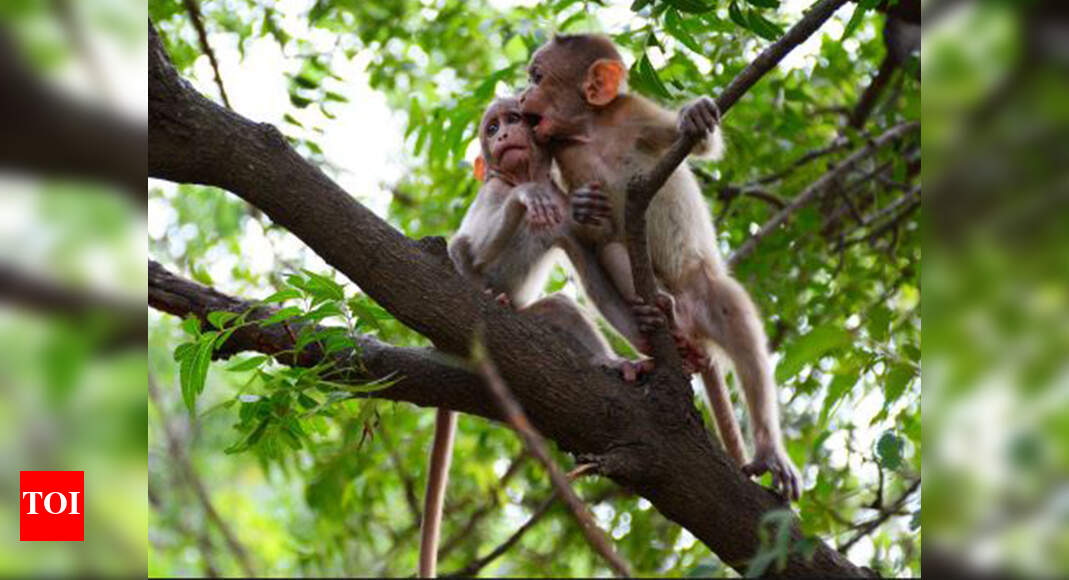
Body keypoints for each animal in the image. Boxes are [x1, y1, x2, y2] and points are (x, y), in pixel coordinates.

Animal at [419, 97, 651, 578]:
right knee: (461, 253)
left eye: (513, 120)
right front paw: (523, 201)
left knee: (559, 308)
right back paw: (487, 294)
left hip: (532, 314)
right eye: (492, 128)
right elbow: (472, 245)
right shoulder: (492, 190)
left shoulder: (565, 214)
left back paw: (612, 363)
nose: (504, 135)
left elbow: (595, 281)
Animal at [519, 34, 801, 501]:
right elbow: (595, 238)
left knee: (733, 313)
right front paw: (583, 207)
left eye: (537, 77)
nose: (523, 96)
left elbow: (697, 145)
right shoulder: (564, 154)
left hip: (702, 290)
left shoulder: (635, 113)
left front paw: (695, 115)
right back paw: (663, 316)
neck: (591, 129)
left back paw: (768, 450)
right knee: (616, 248)